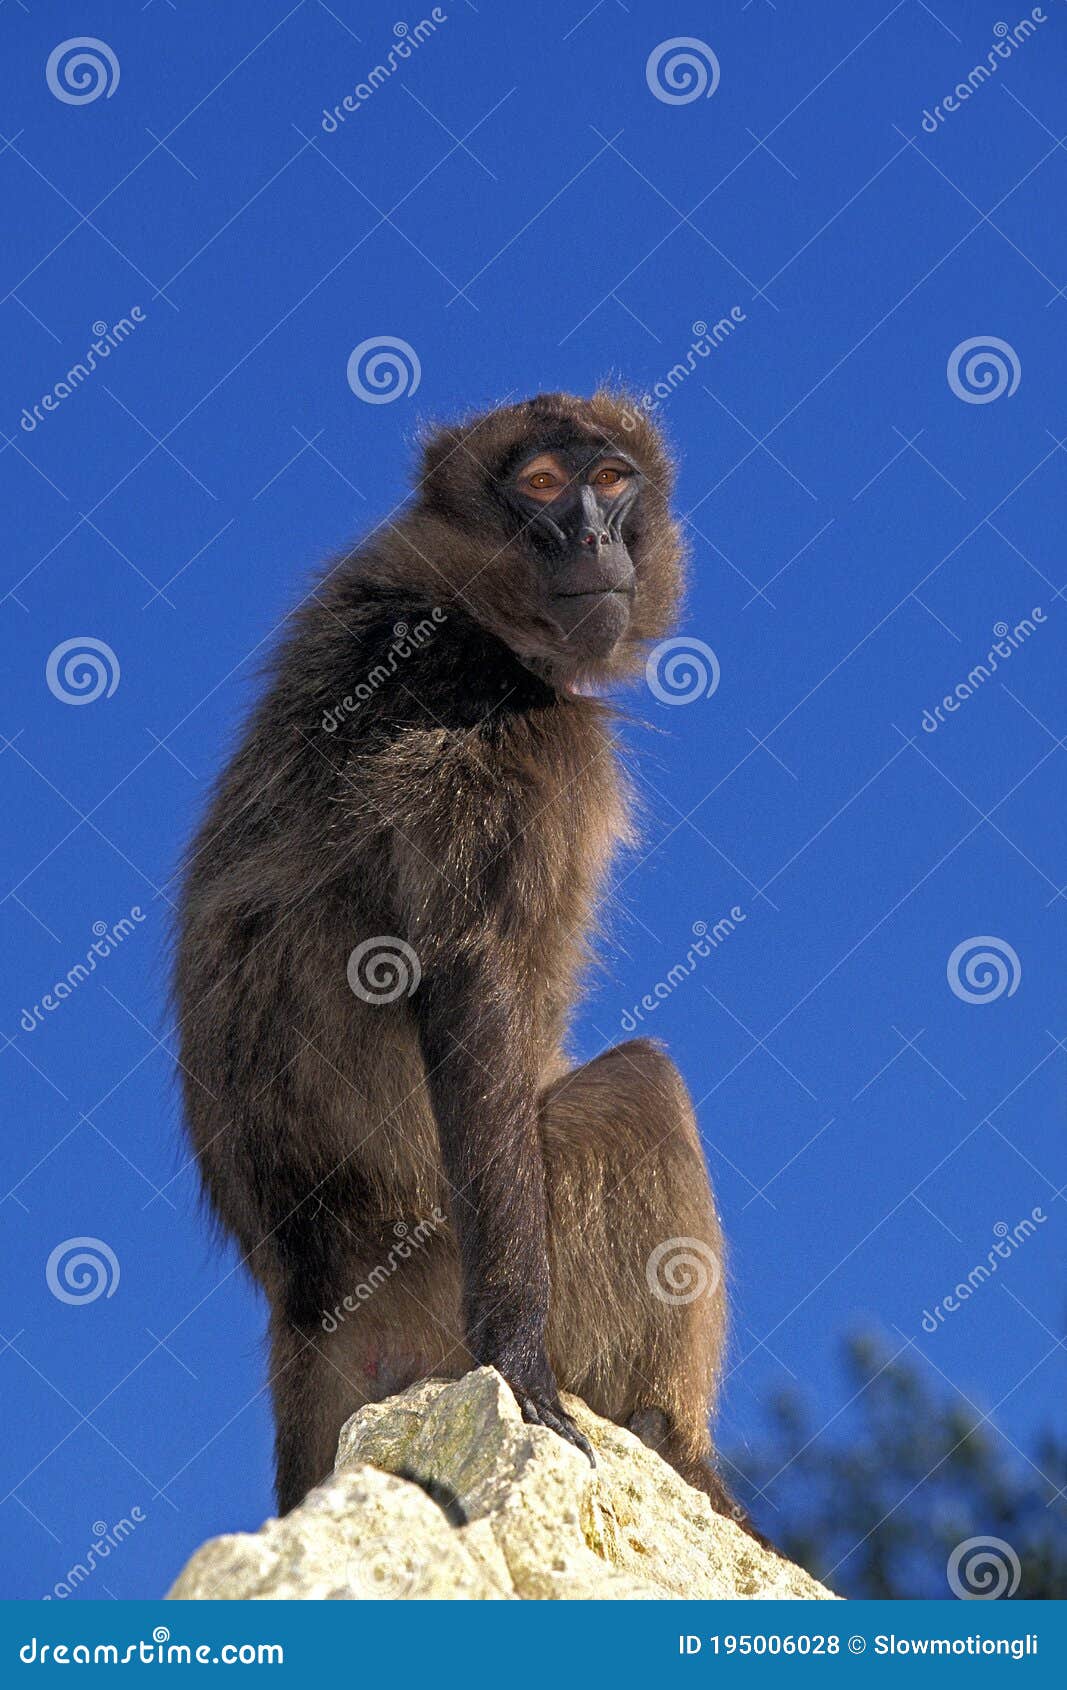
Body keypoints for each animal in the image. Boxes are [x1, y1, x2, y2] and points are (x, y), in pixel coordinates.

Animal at [174, 389, 755, 1534]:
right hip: (453, 1285)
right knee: (643, 1089)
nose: (588, 537)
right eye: (540, 485)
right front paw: (517, 1354)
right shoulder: (479, 709)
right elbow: (466, 977)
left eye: (610, 480)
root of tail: (308, 1311)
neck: (462, 594)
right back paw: (676, 1440)